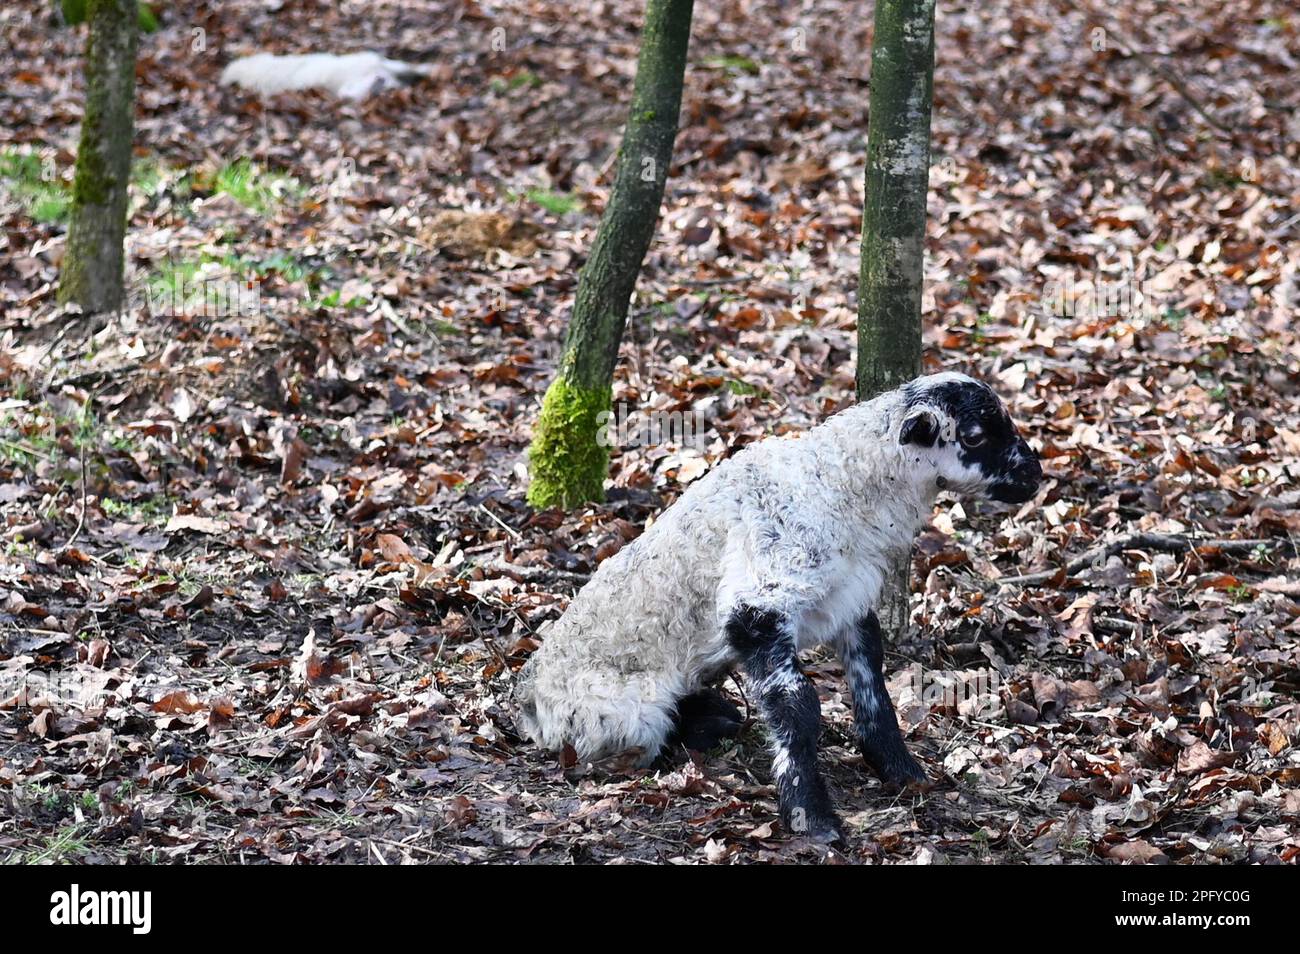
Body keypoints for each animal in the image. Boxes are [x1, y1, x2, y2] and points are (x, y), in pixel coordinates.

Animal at [514, 371, 1042, 840]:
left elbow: (872, 680)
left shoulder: (848, 599)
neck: (841, 483)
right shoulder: (758, 605)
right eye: (974, 436)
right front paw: (812, 816)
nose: (1035, 475)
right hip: (621, 714)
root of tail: (527, 700)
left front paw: (900, 768)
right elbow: (798, 704)